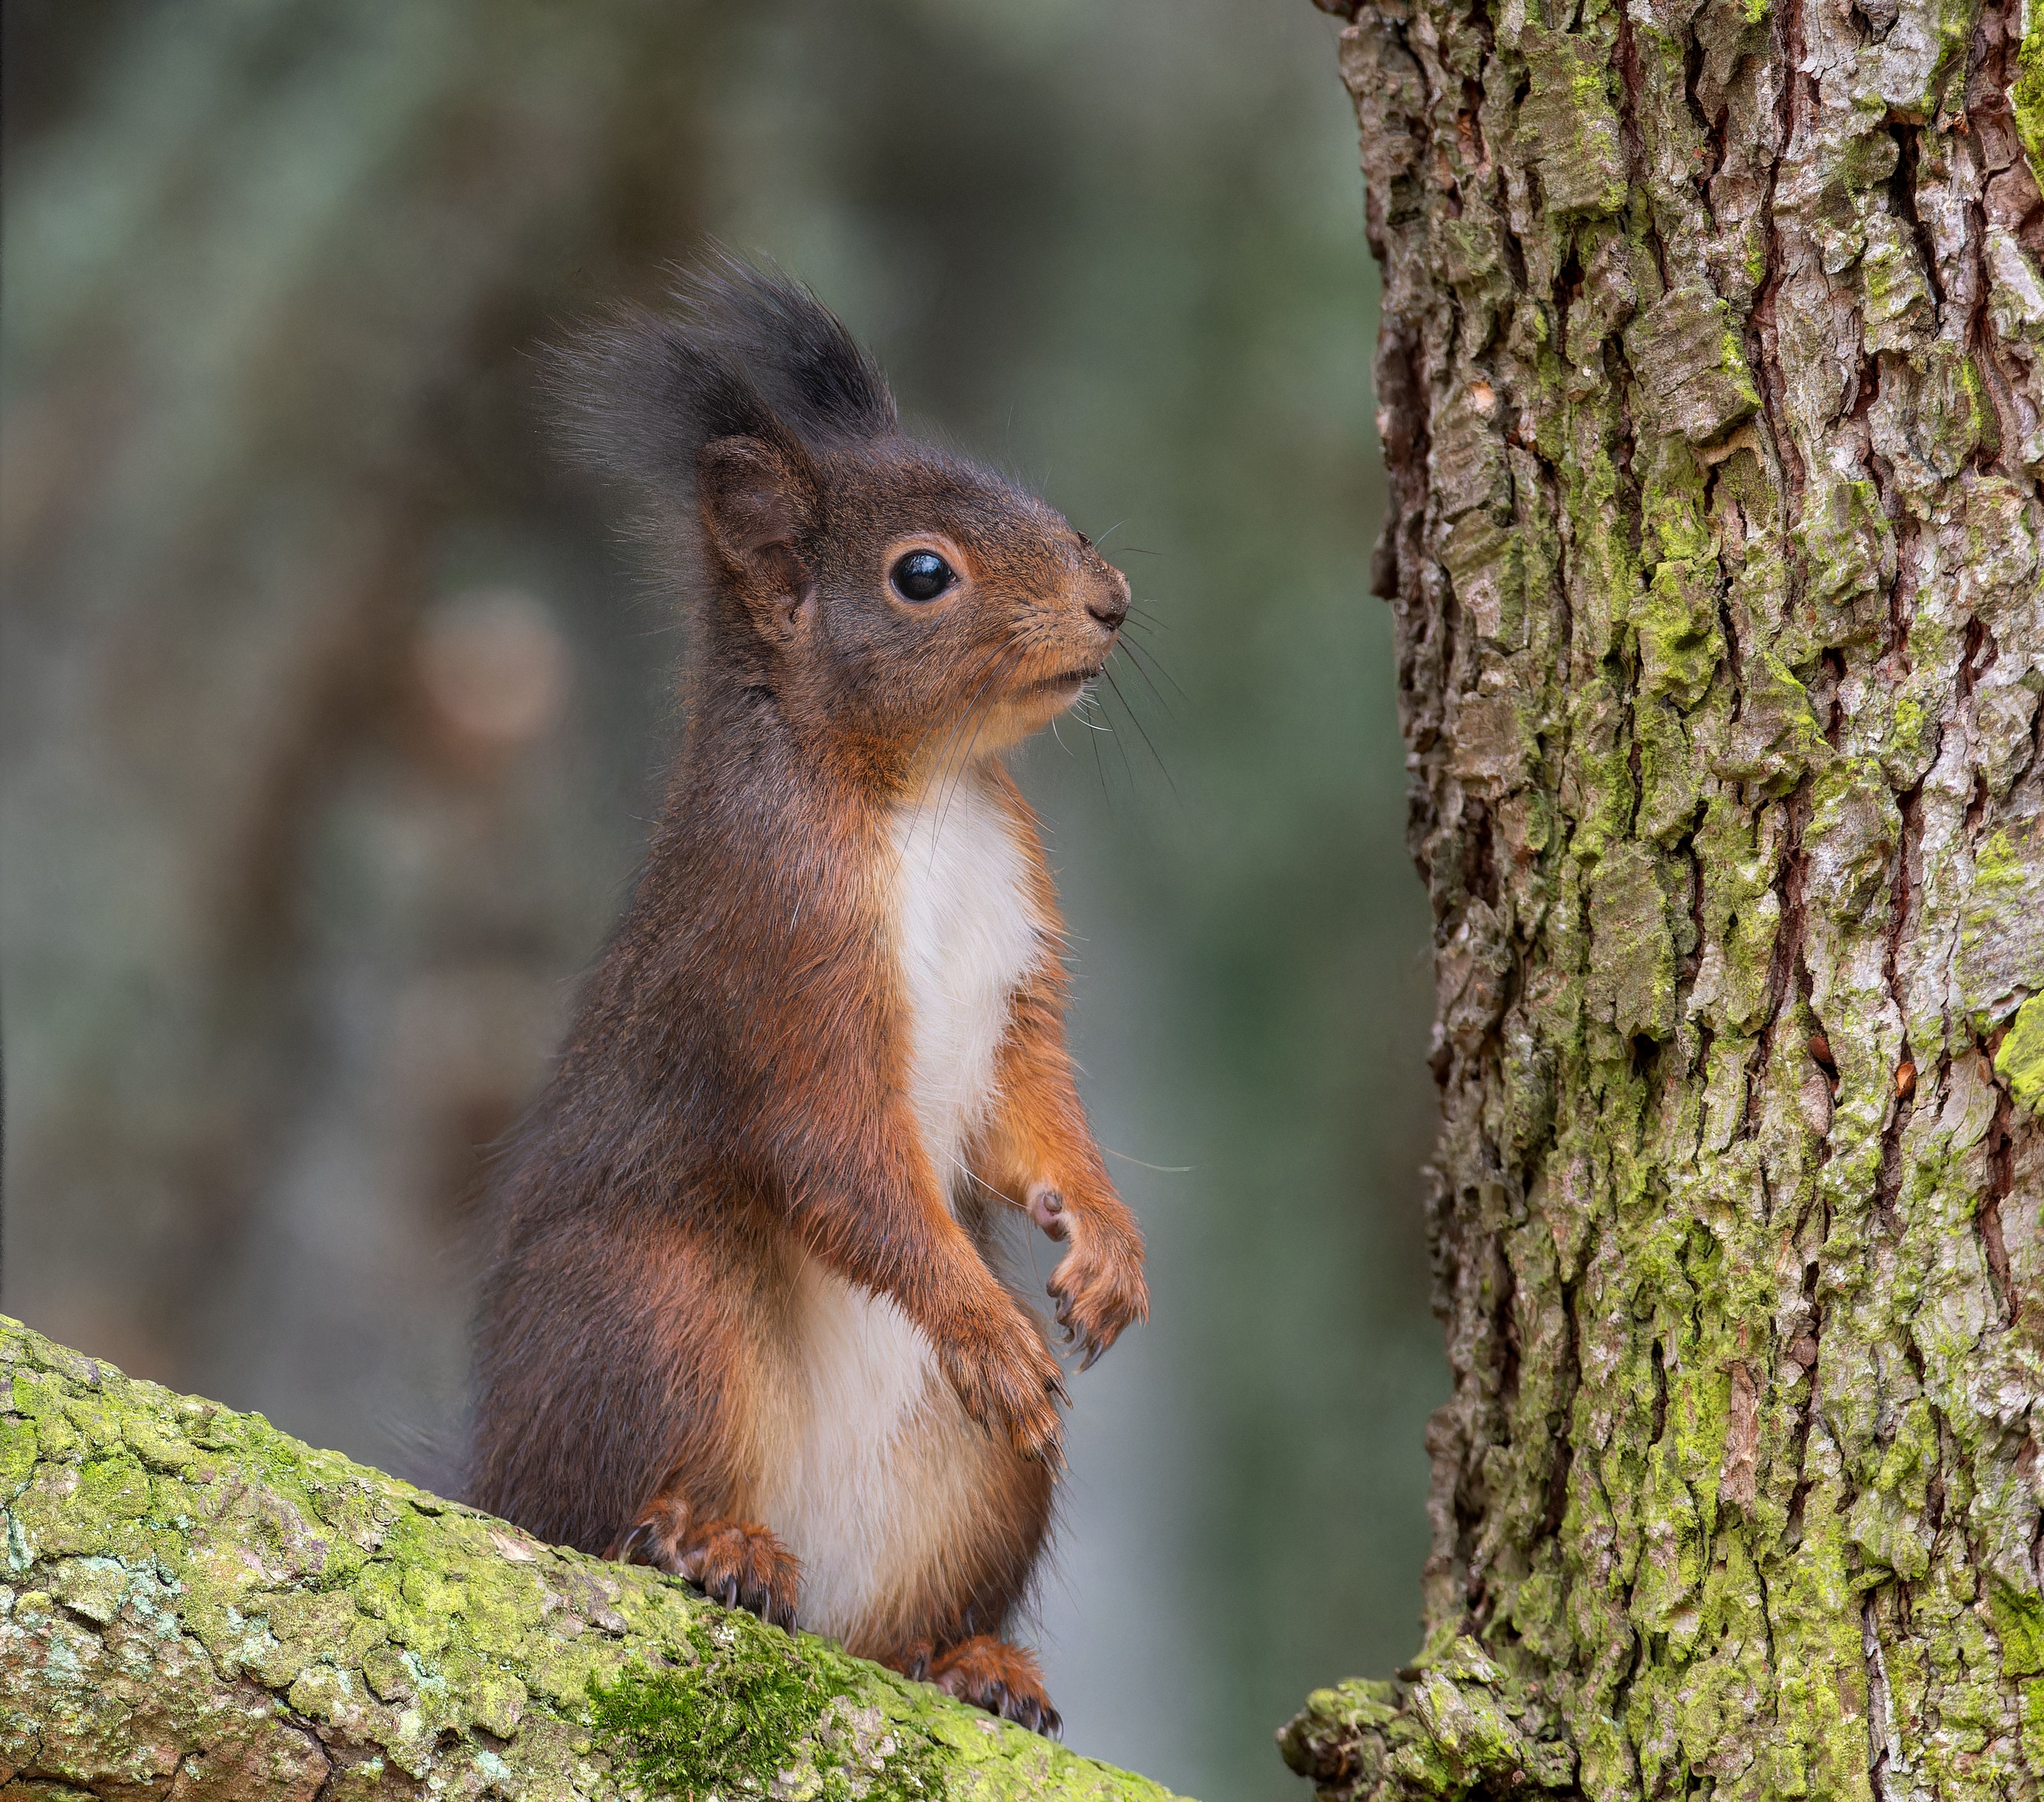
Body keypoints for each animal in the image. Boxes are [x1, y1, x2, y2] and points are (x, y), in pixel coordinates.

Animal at [465, 256, 1149, 1736]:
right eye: (921, 575)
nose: (1113, 597)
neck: (926, 788)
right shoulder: (779, 961)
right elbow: (839, 1157)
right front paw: (984, 1325)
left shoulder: (1021, 974)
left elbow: (1033, 1116)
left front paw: (1108, 1247)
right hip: (653, 1312)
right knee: (600, 1509)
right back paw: (703, 1538)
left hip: (984, 1480)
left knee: (899, 1633)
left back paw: (971, 1662)